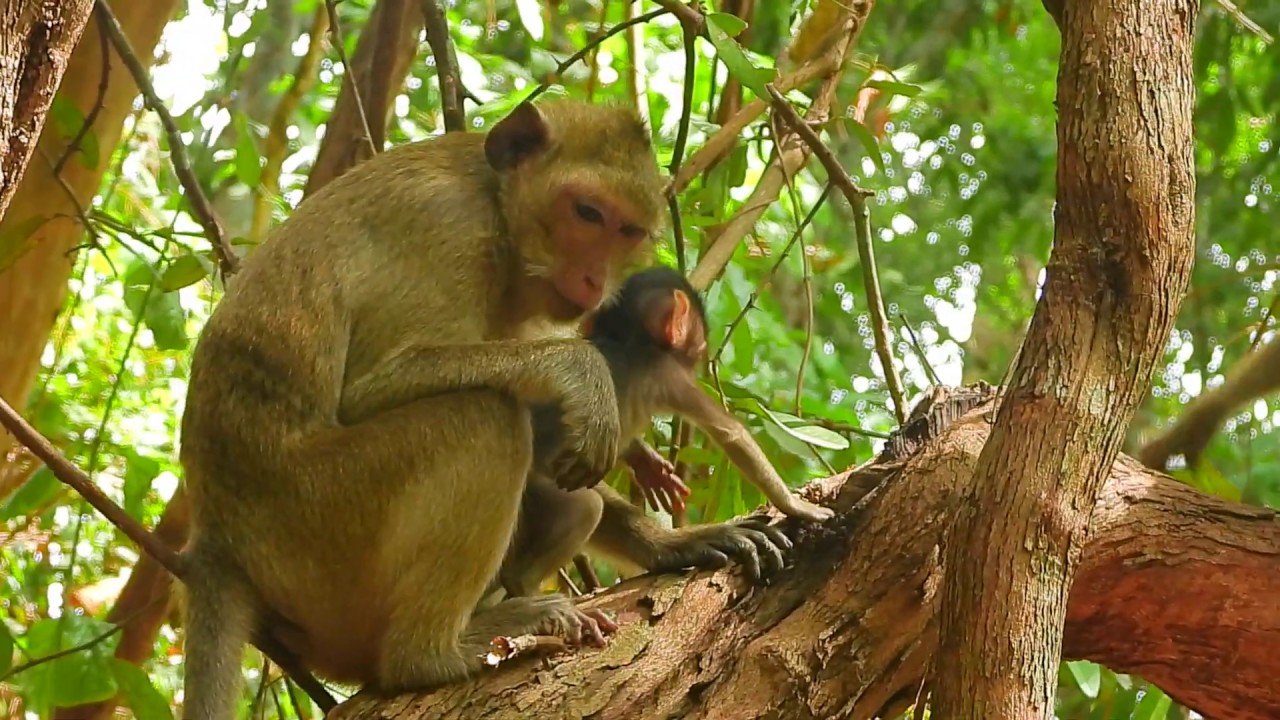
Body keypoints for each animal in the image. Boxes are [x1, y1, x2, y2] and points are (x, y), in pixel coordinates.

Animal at [178, 99, 791, 719]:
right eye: (587, 212)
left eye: (628, 230)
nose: (594, 280)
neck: (497, 210)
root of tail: (216, 542)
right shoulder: (441, 226)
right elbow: (370, 387)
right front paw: (584, 372)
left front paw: (671, 542)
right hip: (317, 524)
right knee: (483, 418)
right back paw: (434, 655)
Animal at [494, 266, 832, 599]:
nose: (703, 345)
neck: (627, 339)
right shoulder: (672, 376)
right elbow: (732, 434)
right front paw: (795, 505)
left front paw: (646, 463)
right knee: (585, 506)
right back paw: (523, 586)